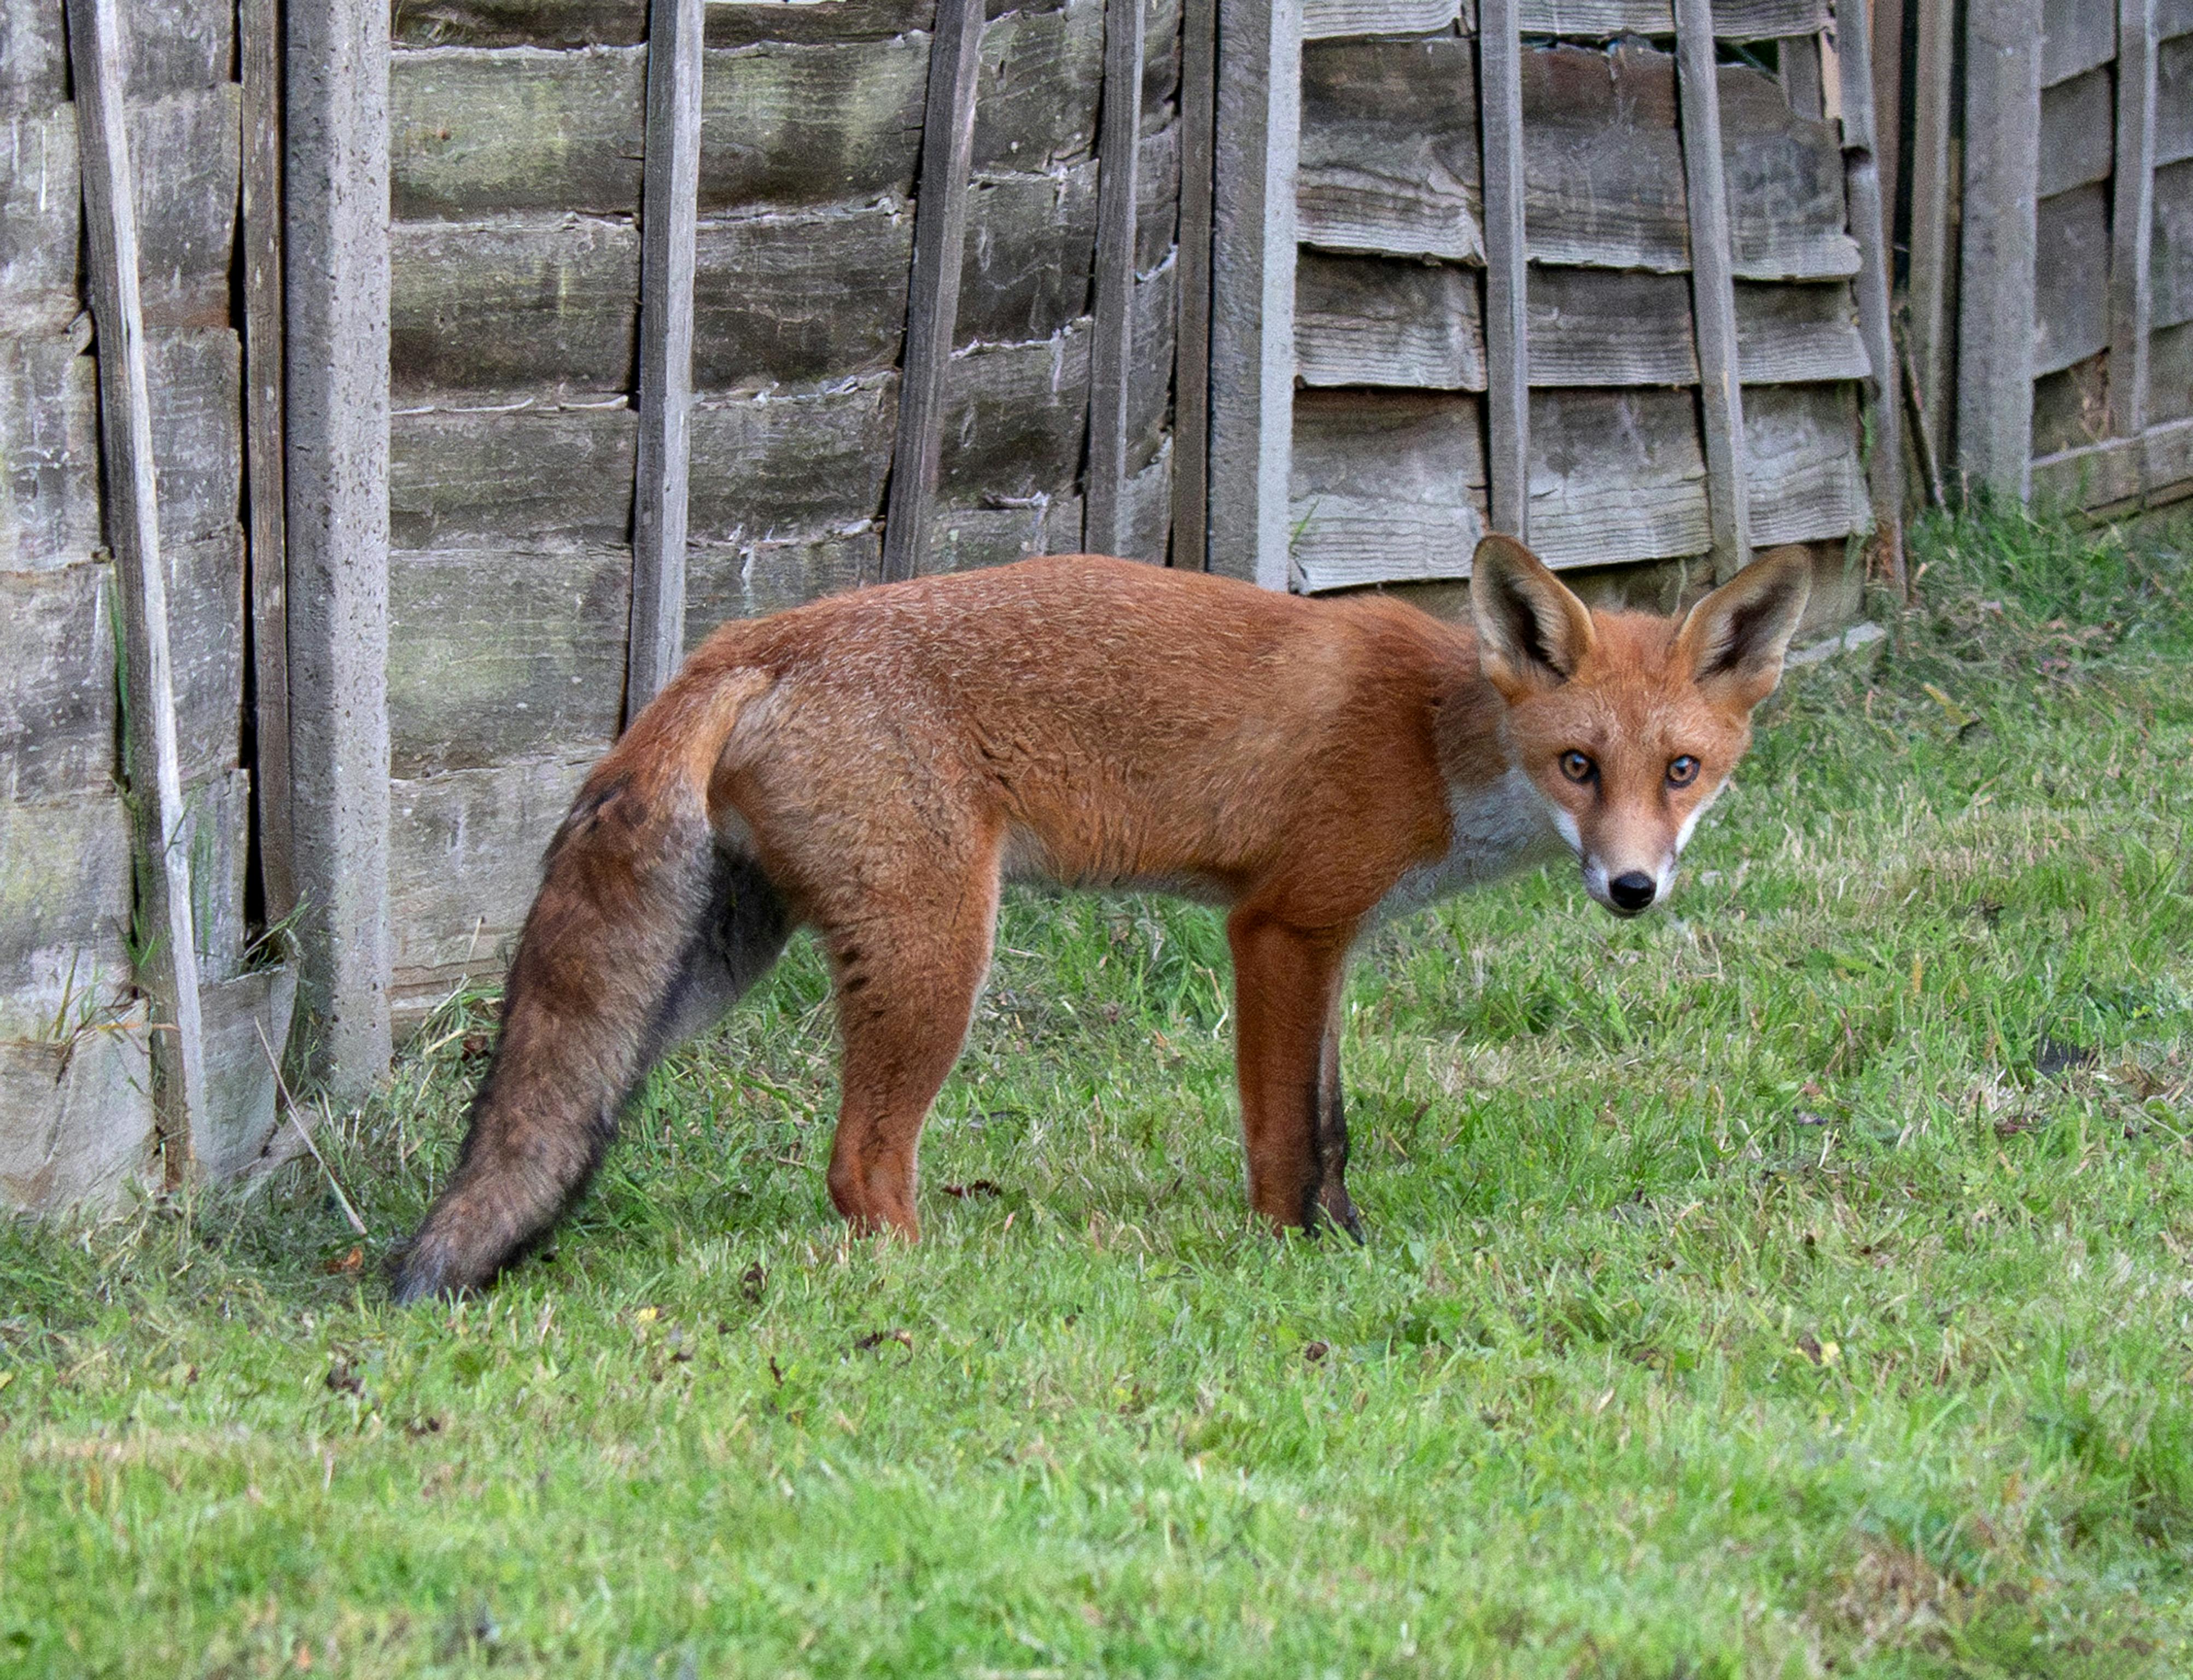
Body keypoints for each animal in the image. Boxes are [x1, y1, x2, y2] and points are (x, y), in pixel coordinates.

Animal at [390, 533, 1811, 1301]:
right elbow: (1288, 1139)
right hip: (934, 952)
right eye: (1577, 764)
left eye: (1679, 771)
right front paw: (1298, 1258)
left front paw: (1349, 1244)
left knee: (560, 1107)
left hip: (705, 969)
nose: (1632, 889)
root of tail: (756, 634)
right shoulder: (1282, 928)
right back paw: (928, 1279)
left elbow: (1333, 1126)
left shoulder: (1332, 941)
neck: (1431, 743)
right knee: (861, 1164)